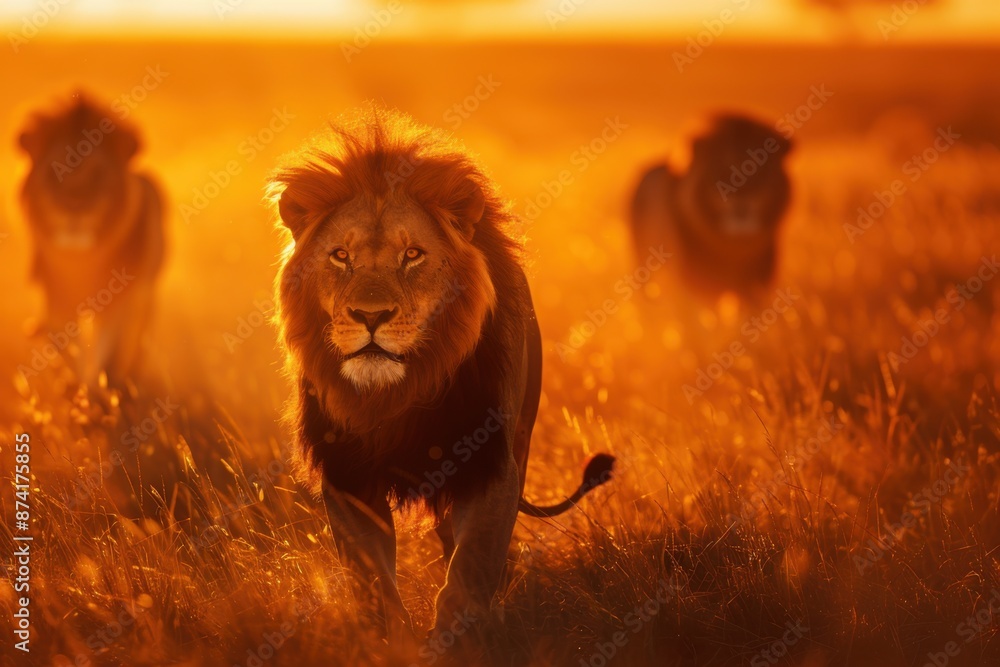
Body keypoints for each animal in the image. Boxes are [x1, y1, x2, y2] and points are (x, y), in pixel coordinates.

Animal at [17, 92, 165, 385]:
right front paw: (74, 388)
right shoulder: (56, 301)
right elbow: (68, 350)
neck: (81, 259)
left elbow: (111, 354)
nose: (74, 206)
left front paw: (103, 390)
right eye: (55, 170)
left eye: (98, 174)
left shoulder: (121, 300)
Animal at [269, 108, 614, 643]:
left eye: (412, 254)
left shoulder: (488, 465)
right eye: (340, 256)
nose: (371, 316)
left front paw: (457, 636)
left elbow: (469, 565)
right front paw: (393, 640)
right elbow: (371, 578)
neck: (395, 395)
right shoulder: (346, 475)